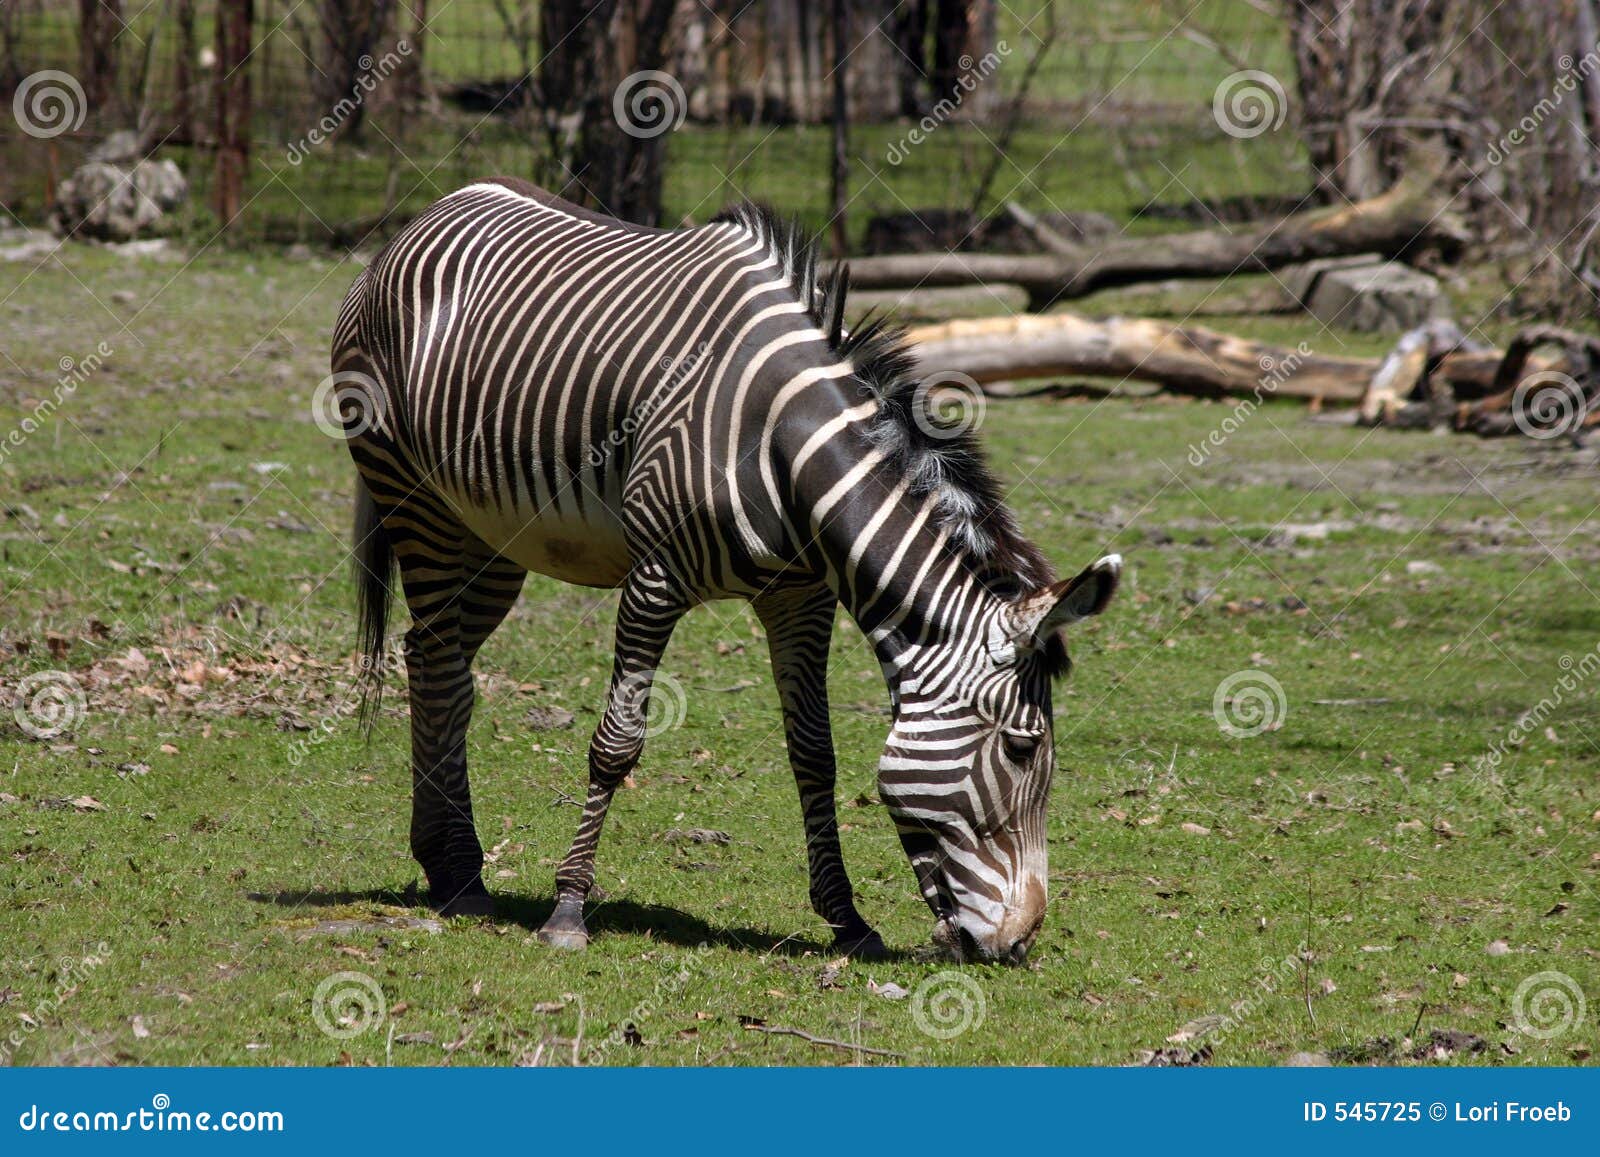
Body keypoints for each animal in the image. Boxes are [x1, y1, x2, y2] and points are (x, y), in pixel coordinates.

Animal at [331, 178, 1120, 964]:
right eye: (1021, 748)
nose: (1019, 944)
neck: (782, 446)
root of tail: (436, 209)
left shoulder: (801, 598)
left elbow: (814, 752)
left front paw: (847, 919)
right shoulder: (653, 580)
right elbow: (616, 743)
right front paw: (568, 909)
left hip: (489, 537)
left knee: (437, 661)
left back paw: (448, 866)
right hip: (414, 498)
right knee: (439, 665)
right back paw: (462, 875)